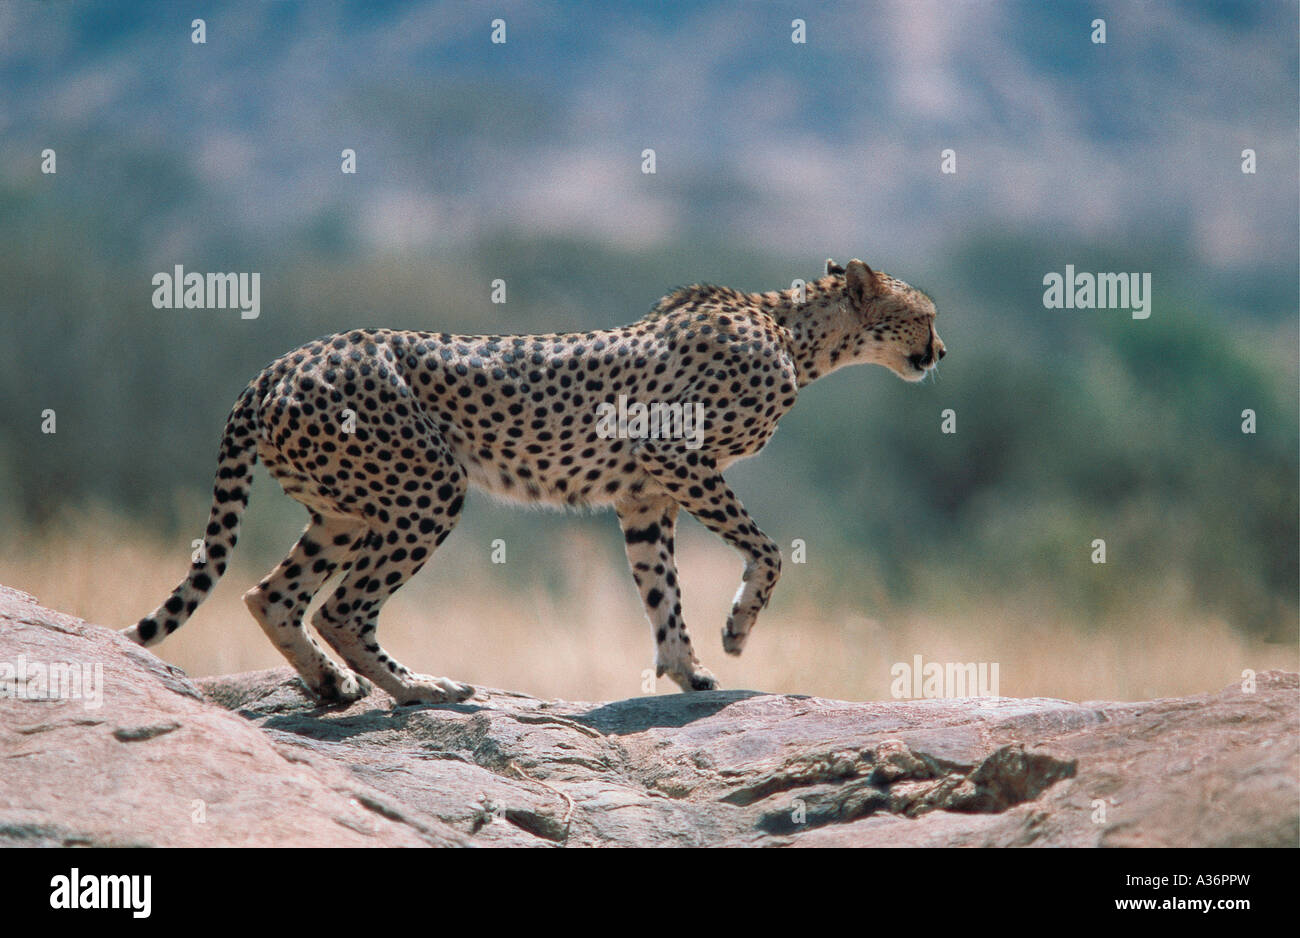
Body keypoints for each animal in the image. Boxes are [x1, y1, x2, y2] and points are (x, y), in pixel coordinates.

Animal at [122, 258, 945, 705]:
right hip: (428, 488)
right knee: (343, 609)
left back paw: (331, 686)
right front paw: (736, 631)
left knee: (271, 594)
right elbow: (768, 552)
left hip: (345, 508)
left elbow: (661, 590)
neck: (794, 333)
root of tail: (282, 361)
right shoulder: (676, 460)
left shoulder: (643, 495)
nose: (941, 352)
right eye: (925, 315)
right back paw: (422, 688)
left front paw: (685, 669)